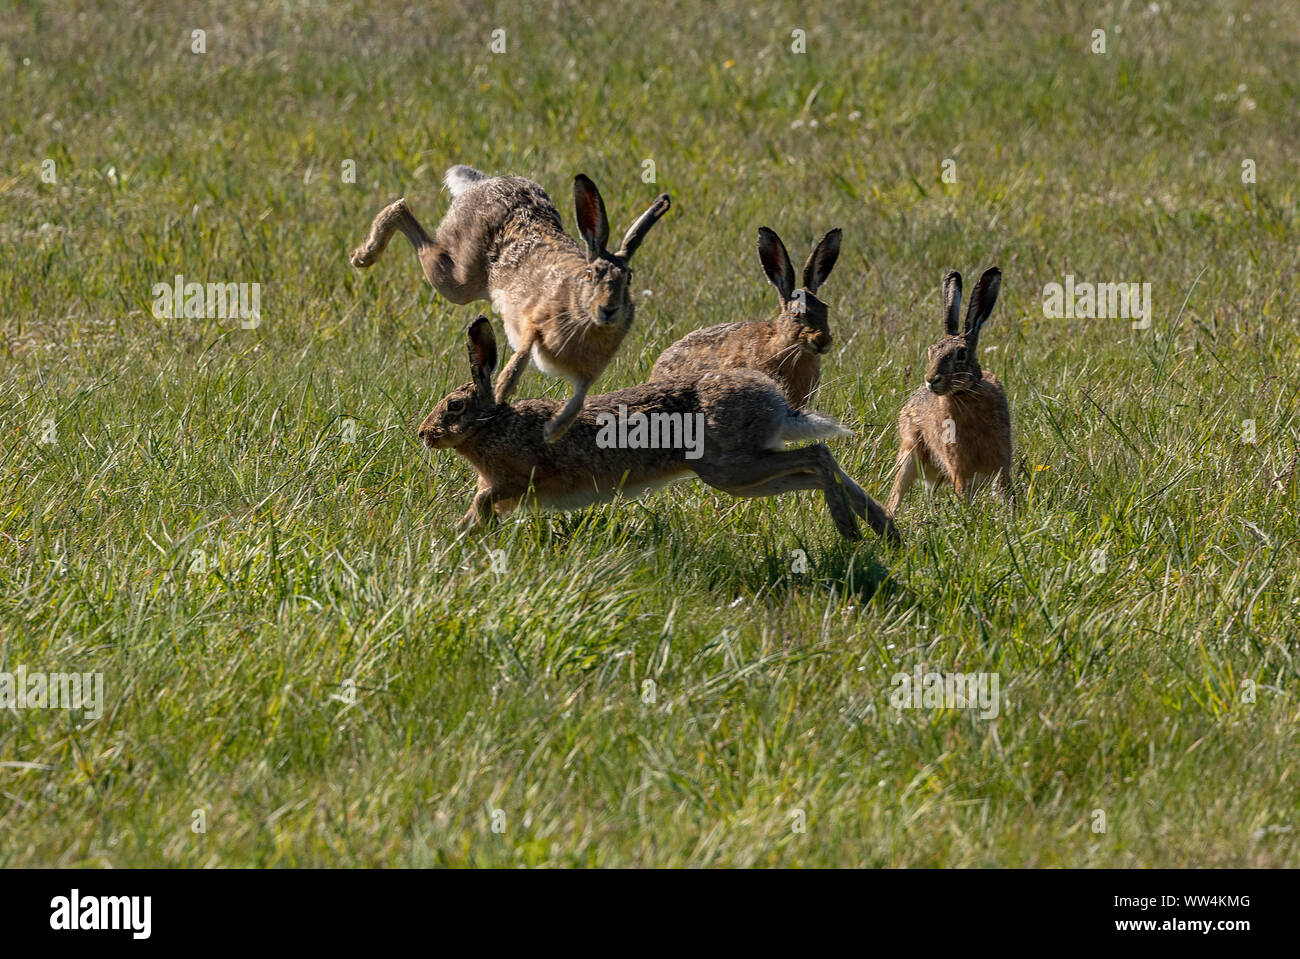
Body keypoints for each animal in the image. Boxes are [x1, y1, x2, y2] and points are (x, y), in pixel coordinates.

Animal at [351, 166, 671, 442]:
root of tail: (484, 182)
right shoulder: (531, 321)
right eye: (591, 275)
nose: (609, 309)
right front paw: (502, 391)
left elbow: (577, 402)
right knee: (402, 211)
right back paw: (363, 255)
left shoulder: (587, 375)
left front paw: (552, 431)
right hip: (457, 280)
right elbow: (520, 357)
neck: (579, 310)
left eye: (628, 278)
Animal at [418, 316, 899, 544]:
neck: (493, 425)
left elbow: (485, 500)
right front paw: (458, 535)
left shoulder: (517, 479)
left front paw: (474, 530)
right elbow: (475, 508)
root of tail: (776, 401)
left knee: (817, 456)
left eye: (454, 406)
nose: (424, 434)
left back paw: (851, 529)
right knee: (817, 466)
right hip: (741, 475)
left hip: (731, 467)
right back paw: (884, 531)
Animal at [885, 267, 1013, 515]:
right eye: (931, 351)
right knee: (897, 492)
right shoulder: (958, 467)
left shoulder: (1001, 462)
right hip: (910, 452)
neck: (965, 392)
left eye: (961, 354)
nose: (931, 380)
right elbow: (962, 490)